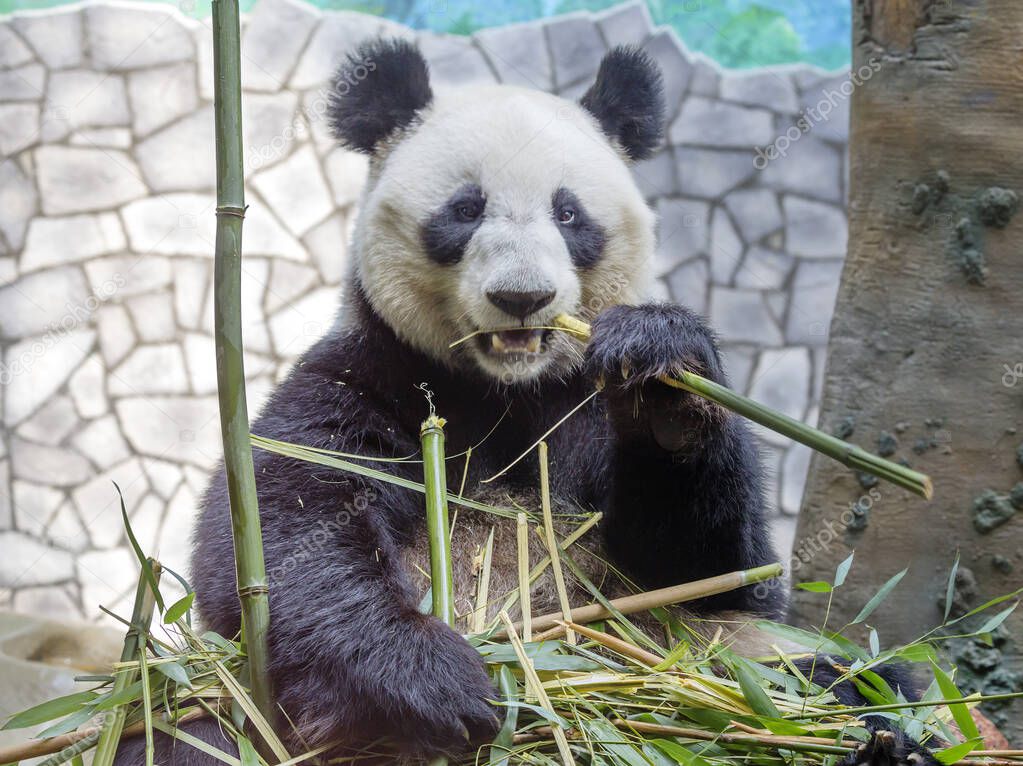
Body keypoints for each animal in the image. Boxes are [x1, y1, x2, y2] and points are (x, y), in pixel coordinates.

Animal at [115, 38, 940, 766]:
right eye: (465, 208)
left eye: (568, 214)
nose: (522, 298)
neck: (506, 389)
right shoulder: (368, 377)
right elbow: (283, 530)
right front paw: (434, 683)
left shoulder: (580, 405)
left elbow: (710, 569)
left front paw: (661, 380)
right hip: (217, 706)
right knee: (178, 734)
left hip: (727, 657)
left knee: (849, 682)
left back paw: (882, 742)